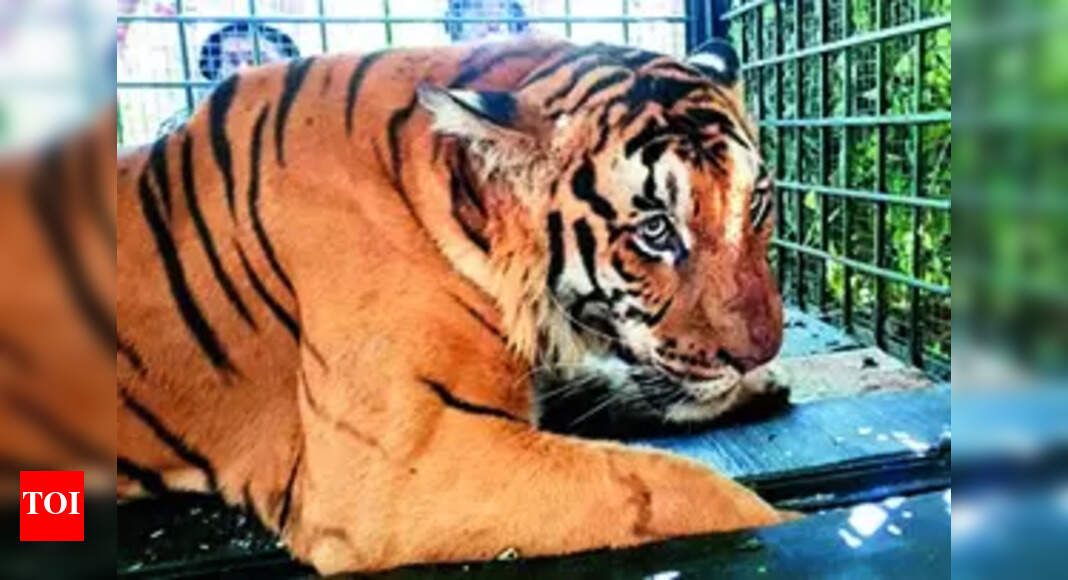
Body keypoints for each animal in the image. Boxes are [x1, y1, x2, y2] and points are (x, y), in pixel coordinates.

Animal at [112, 35, 788, 572]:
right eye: (655, 230)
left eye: (755, 202)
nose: (761, 351)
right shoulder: (397, 468)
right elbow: (669, 487)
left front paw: (761, 387)